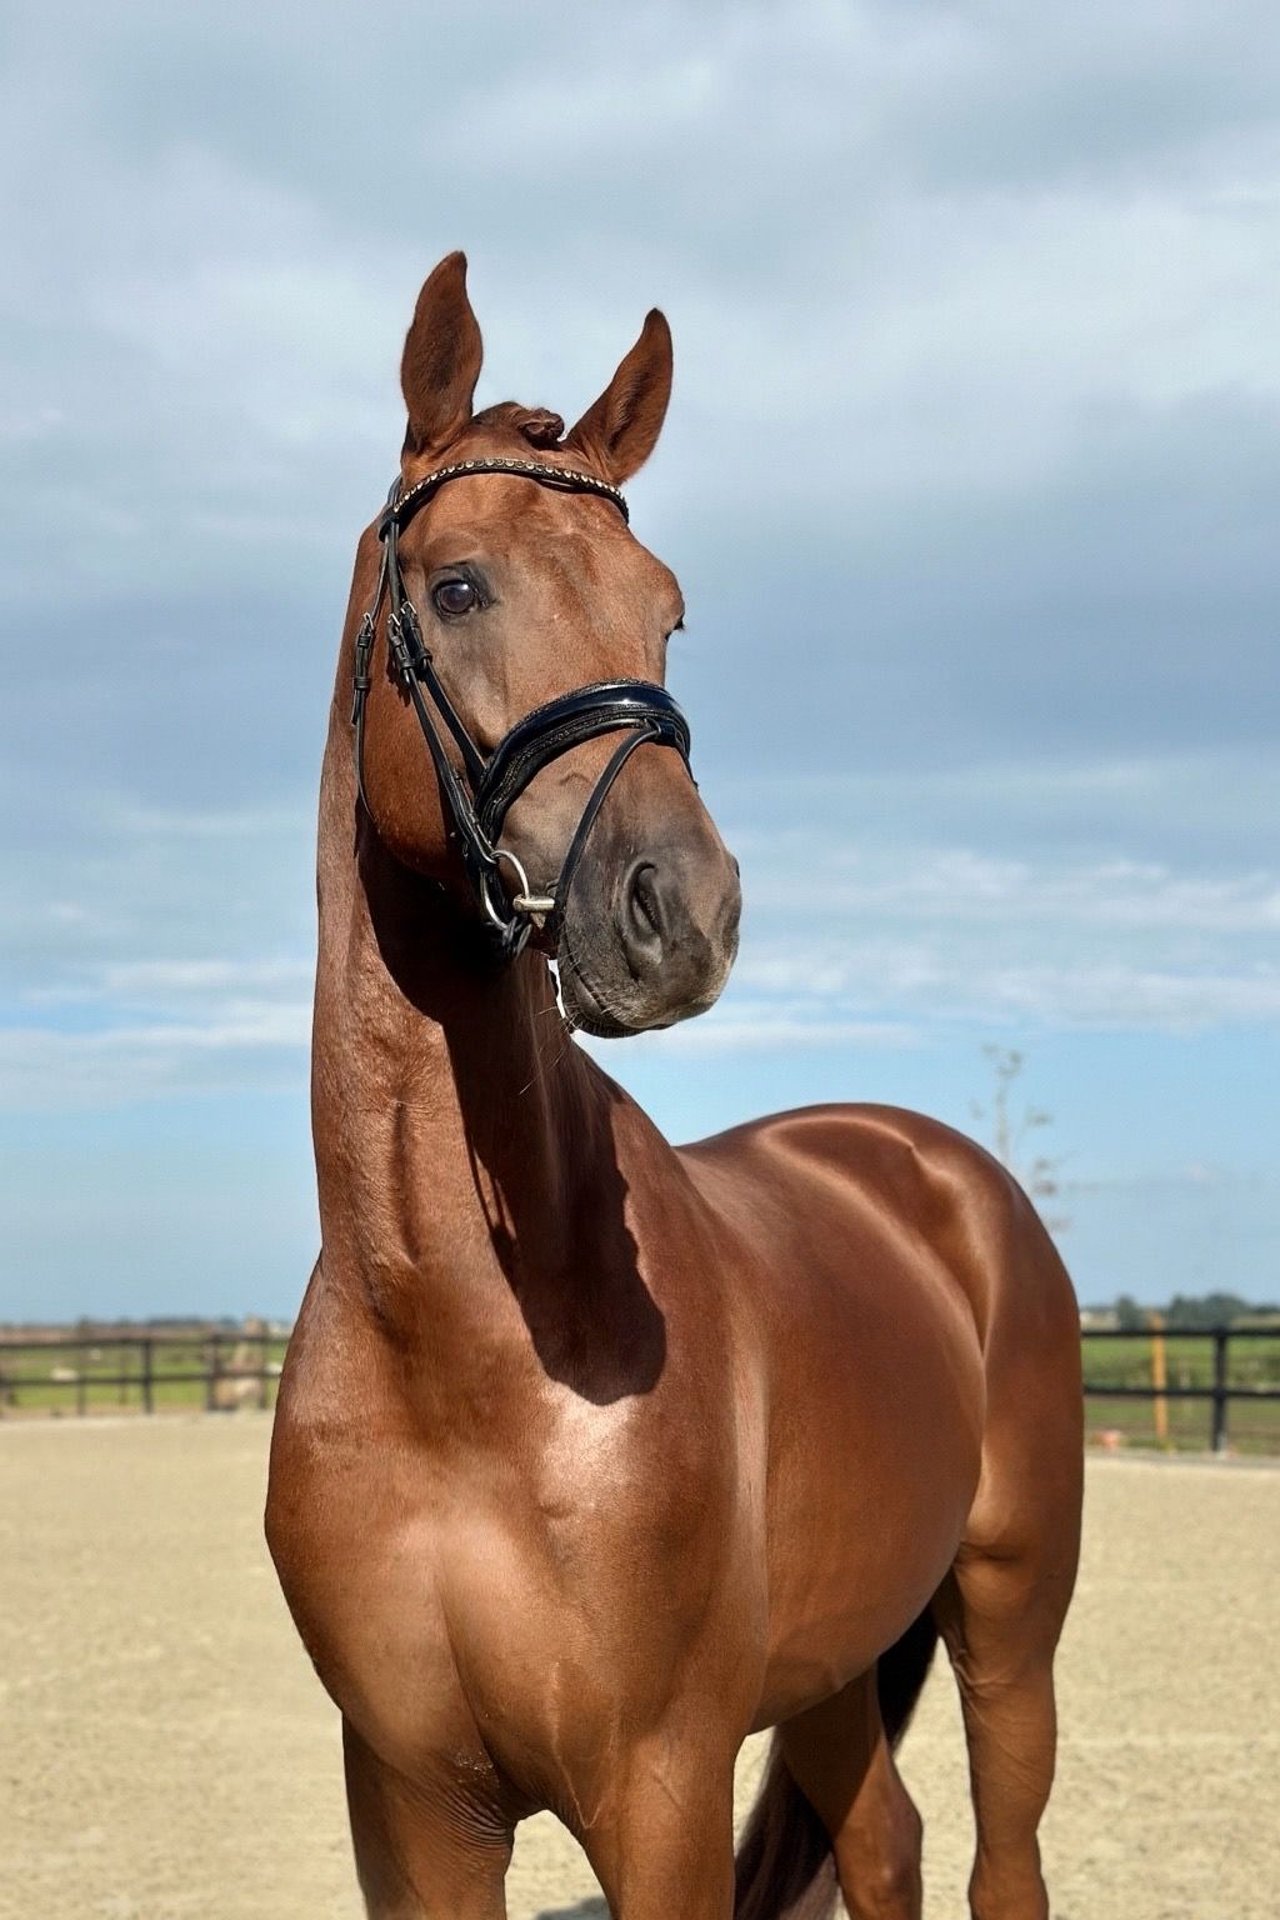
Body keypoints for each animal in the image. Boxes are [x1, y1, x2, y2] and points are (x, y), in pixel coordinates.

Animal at [266, 252, 1083, 1920]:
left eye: (669, 611)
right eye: (458, 585)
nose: (680, 911)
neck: (455, 1346)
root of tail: (942, 1173)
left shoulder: (660, 1789)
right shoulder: (413, 1807)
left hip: (1009, 1624)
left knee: (1001, 1864)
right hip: (832, 1666)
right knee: (885, 1846)